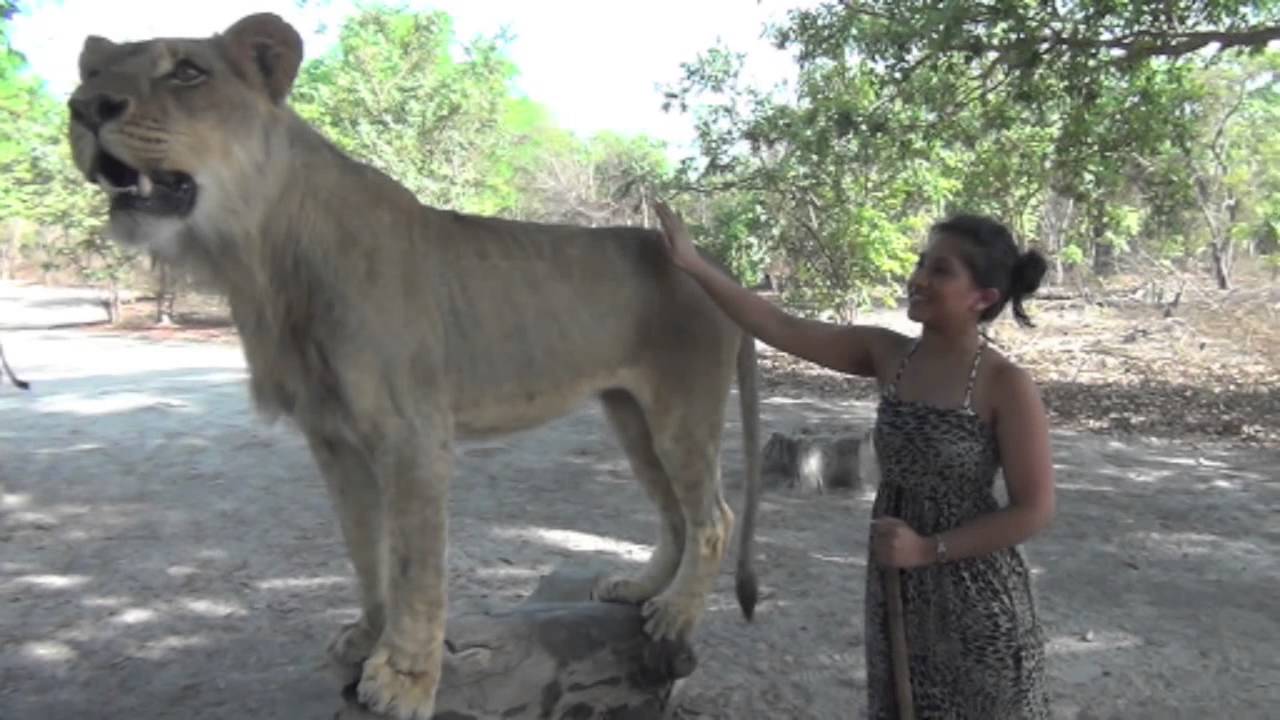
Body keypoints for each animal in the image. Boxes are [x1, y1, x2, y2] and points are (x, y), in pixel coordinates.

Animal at [67, 13, 762, 720]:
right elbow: (365, 550)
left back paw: (674, 614)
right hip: (631, 416)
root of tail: (716, 267)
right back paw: (640, 589)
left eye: (187, 72)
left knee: (714, 517)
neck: (258, 258)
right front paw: (366, 637)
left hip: (683, 411)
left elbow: (416, 568)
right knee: (674, 513)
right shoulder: (333, 438)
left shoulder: (414, 435)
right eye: (90, 74)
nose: (85, 108)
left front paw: (403, 680)